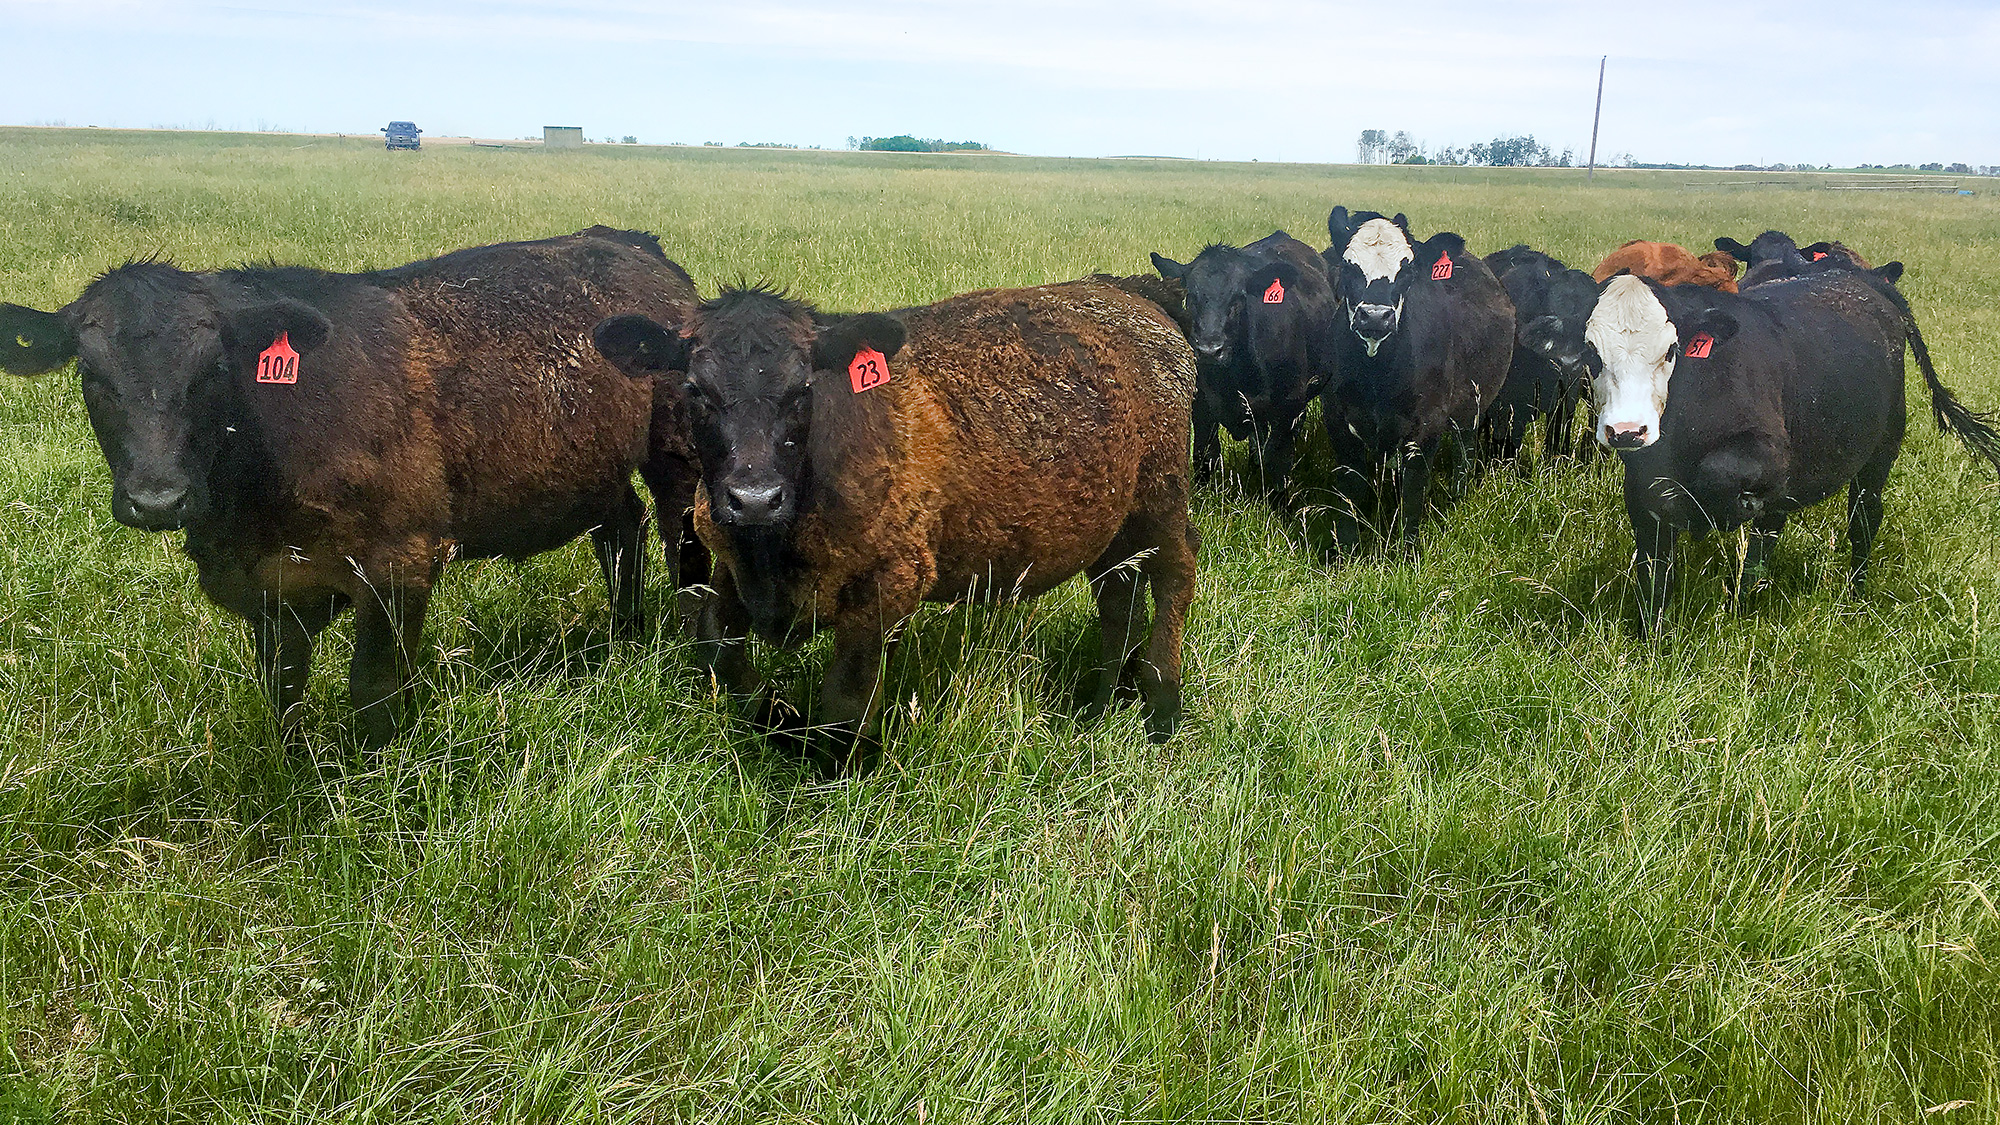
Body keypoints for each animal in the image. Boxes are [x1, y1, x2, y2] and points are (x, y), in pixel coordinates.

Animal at [0, 227, 703, 744]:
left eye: (214, 369)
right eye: (91, 376)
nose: (157, 499)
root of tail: (631, 243)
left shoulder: (401, 562)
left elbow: (372, 692)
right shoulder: (271, 587)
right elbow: (281, 691)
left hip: (677, 458)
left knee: (679, 538)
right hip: (596, 467)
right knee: (621, 529)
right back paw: (624, 636)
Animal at [592, 278, 1199, 764]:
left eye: (804, 389)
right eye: (695, 390)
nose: (756, 498)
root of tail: (1134, 302)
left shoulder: (891, 581)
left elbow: (845, 699)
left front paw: (842, 776)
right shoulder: (732, 561)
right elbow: (720, 649)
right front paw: (784, 724)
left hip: (1162, 497)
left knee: (1176, 573)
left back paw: (1161, 702)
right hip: (1112, 521)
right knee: (1118, 594)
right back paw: (1100, 702)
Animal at [1149, 231, 1339, 511]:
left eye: (1238, 297)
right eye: (1191, 297)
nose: (1209, 350)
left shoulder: (1289, 406)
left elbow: (1277, 461)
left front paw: (1280, 509)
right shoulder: (1201, 405)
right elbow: (1205, 455)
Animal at [1319, 207, 1514, 551]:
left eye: (1407, 271)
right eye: (1348, 266)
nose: (1375, 315)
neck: (1377, 379)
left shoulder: (1427, 428)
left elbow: (1412, 493)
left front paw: (1406, 551)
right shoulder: (1339, 422)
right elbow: (1350, 491)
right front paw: (1348, 550)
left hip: (1473, 410)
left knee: (1465, 451)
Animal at [1585, 266, 2000, 630]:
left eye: (1671, 350)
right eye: (1592, 353)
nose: (1627, 431)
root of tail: (1863, 280)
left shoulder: (1772, 456)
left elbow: (1720, 474)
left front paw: (1735, 507)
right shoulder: (1644, 486)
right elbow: (1655, 568)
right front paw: (1651, 638)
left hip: (1881, 451)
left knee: (1862, 519)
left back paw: (1856, 594)